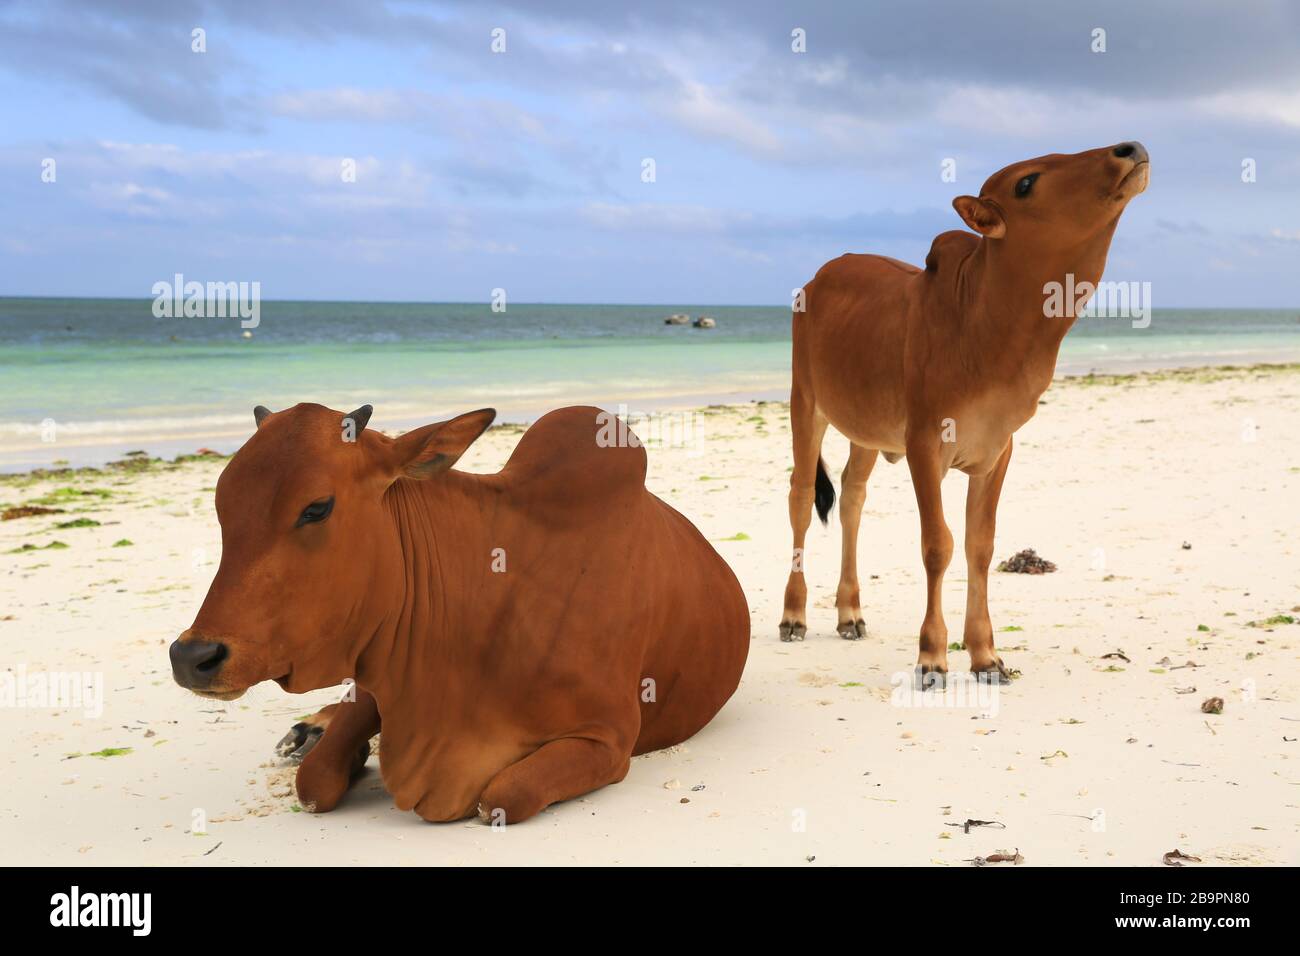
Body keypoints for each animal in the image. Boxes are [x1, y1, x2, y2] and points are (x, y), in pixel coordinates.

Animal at [169, 403, 750, 824]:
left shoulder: (607, 738)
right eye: (222, 506)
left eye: (317, 507)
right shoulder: (381, 672)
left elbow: (502, 795)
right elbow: (315, 781)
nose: (191, 656)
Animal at [779, 142, 1150, 687]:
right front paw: (932, 656)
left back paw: (849, 613)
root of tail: (817, 276)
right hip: (805, 402)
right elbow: (938, 544)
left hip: (866, 432)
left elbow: (980, 546)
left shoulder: (997, 450)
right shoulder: (924, 445)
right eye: (1025, 183)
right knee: (802, 498)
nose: (1130, 149)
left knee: (852, 498)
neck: (984, 322)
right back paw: (794, 615)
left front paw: (986, 656)